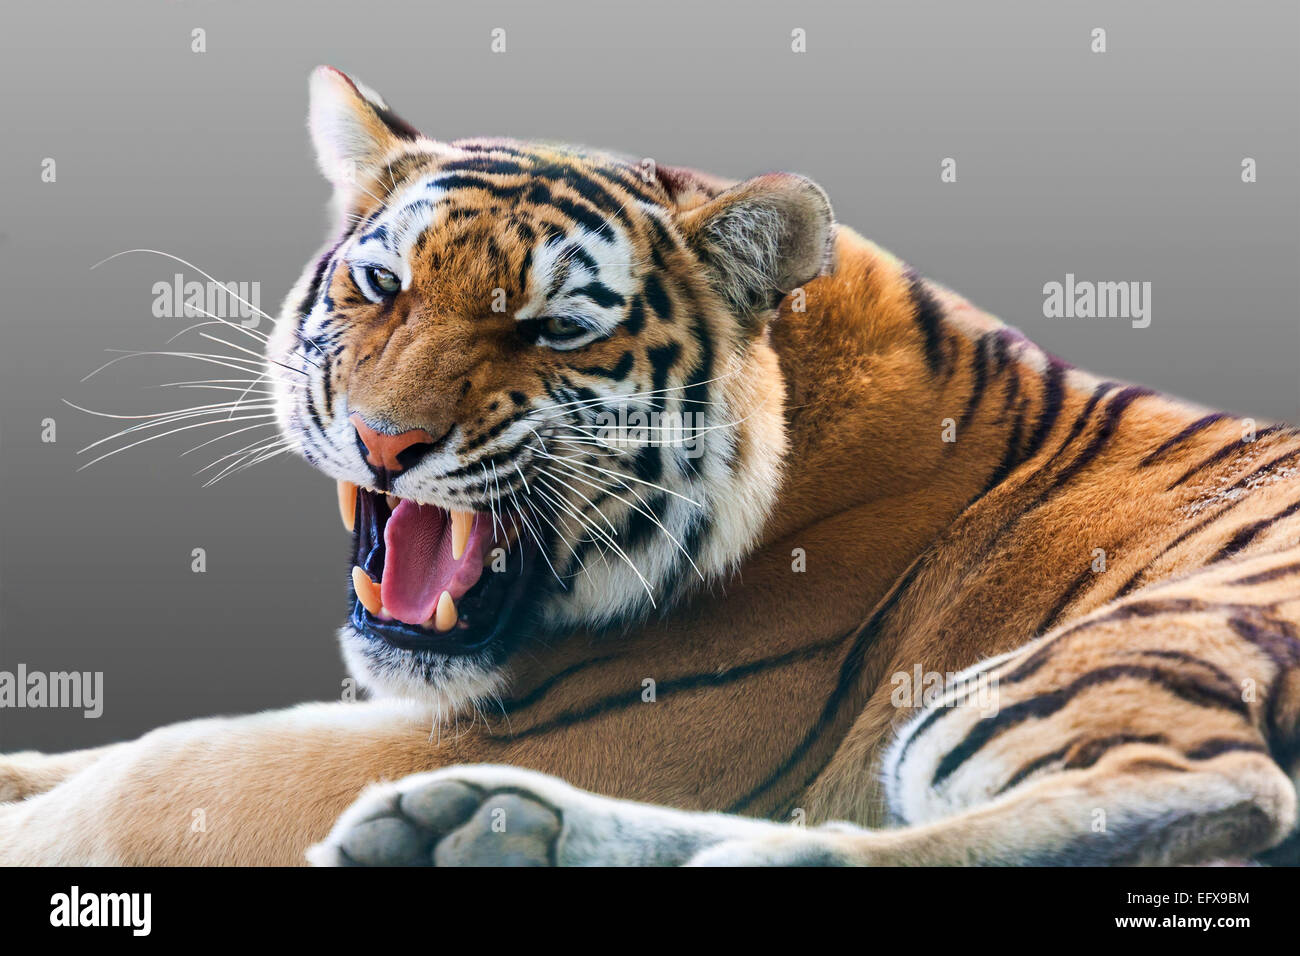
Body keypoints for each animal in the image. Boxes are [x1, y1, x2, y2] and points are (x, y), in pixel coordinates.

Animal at [1, 65, 1298, 867]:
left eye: (554, 328)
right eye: (381, 283)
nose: (383, 439)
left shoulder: (565, 722)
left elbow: (159, 770)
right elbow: (95, 755)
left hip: (1091, 656)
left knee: (1213, 790)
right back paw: (481, 831)